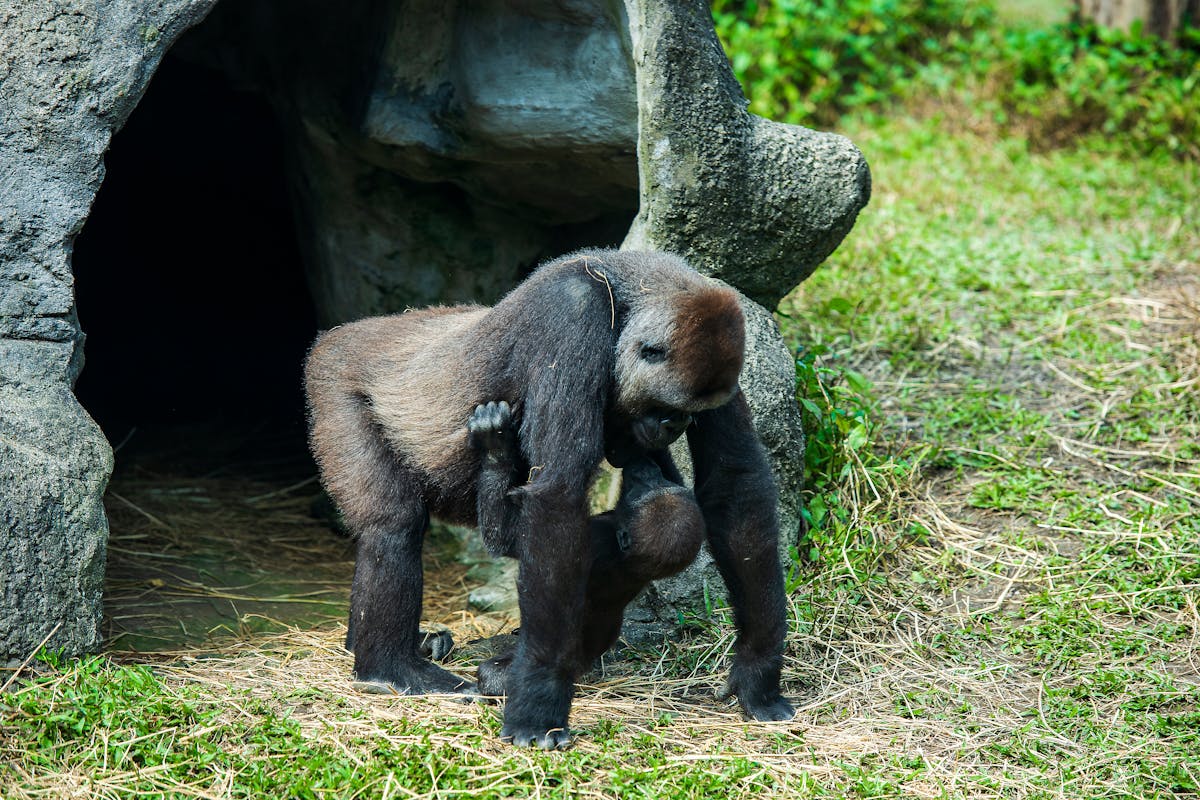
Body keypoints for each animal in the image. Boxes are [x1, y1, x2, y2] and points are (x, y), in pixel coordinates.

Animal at [304, 249, 794, 750]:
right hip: (333, 383)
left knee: (393, 528)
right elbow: (557, 497)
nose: (672, 428)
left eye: (688, 415)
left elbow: (733, 485)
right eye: (667, 410)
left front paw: (757, 672)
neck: (622, 291)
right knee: (393, 526)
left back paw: (388, 660)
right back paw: (391, 666)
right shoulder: (573, 315)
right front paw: (540, 701)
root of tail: (340, 336)